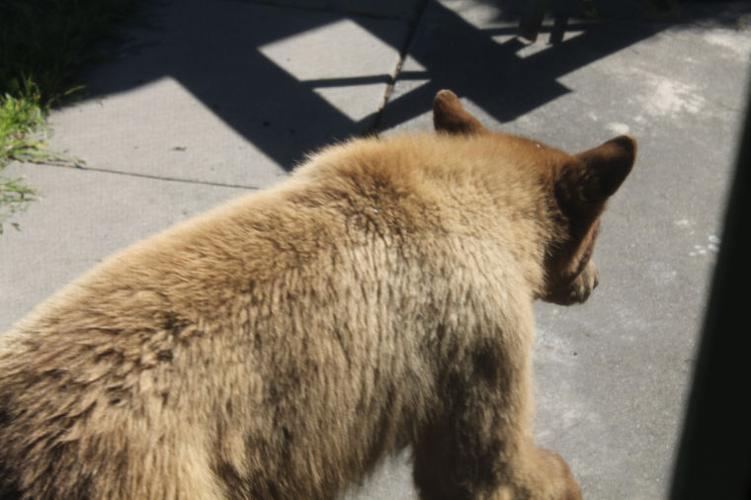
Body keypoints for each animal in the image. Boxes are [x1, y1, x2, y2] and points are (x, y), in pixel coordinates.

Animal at [0, 89, 636, 500]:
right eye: (597, 236)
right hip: (146, 478)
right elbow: (483, 465)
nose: (596, 282)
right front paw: (563, 479)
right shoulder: (476, 337)